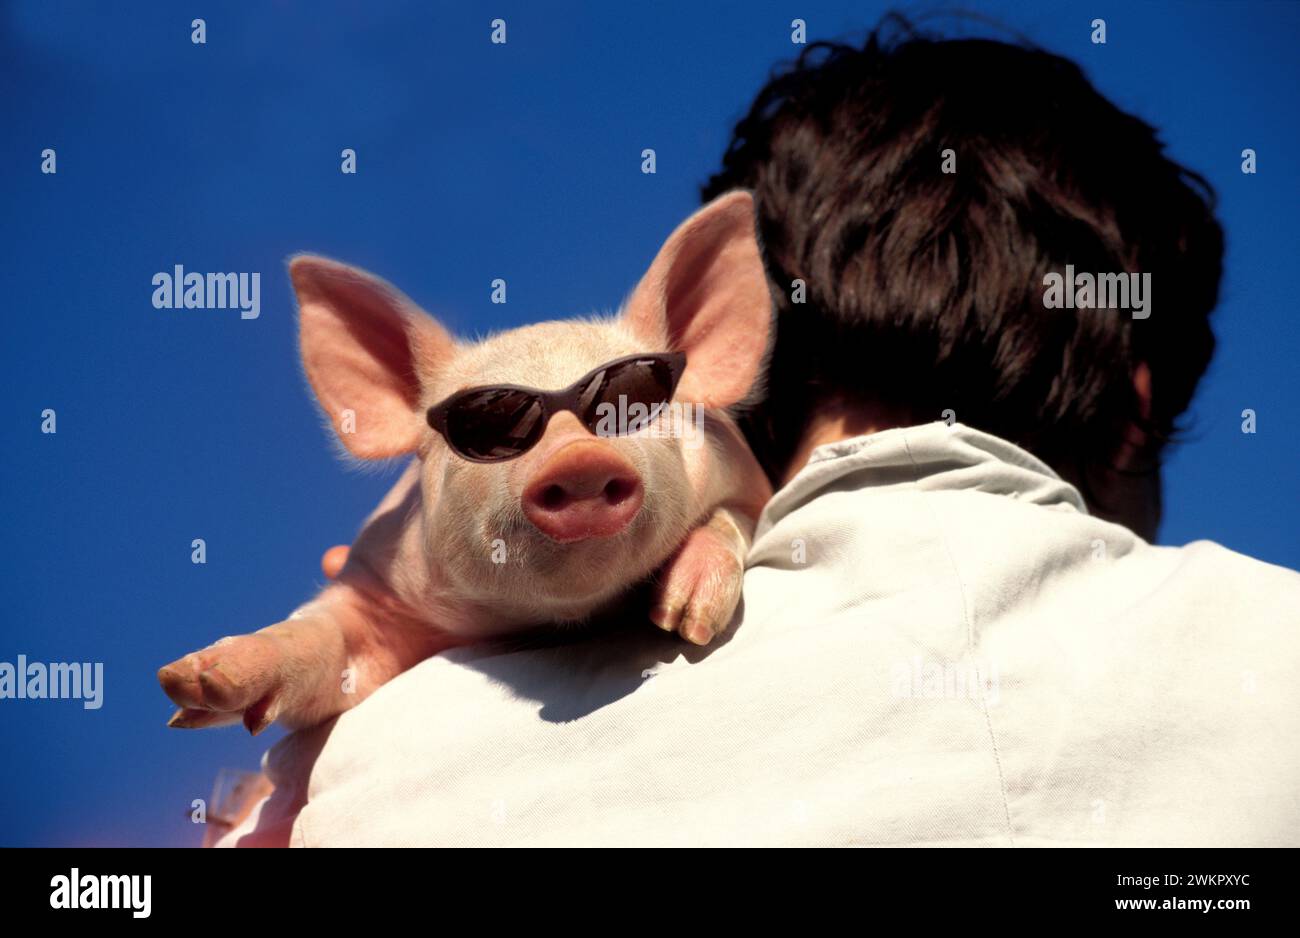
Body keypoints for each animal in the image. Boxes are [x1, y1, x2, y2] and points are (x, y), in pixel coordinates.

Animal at [158, 191, 774, 735]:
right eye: (487, 426)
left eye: (629, 404)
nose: (577, 459)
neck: (562, 619)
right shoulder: (375, 584)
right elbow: (323, 637)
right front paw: (193, 682)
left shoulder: (745, 480)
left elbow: (733, 521)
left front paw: (684, 619)